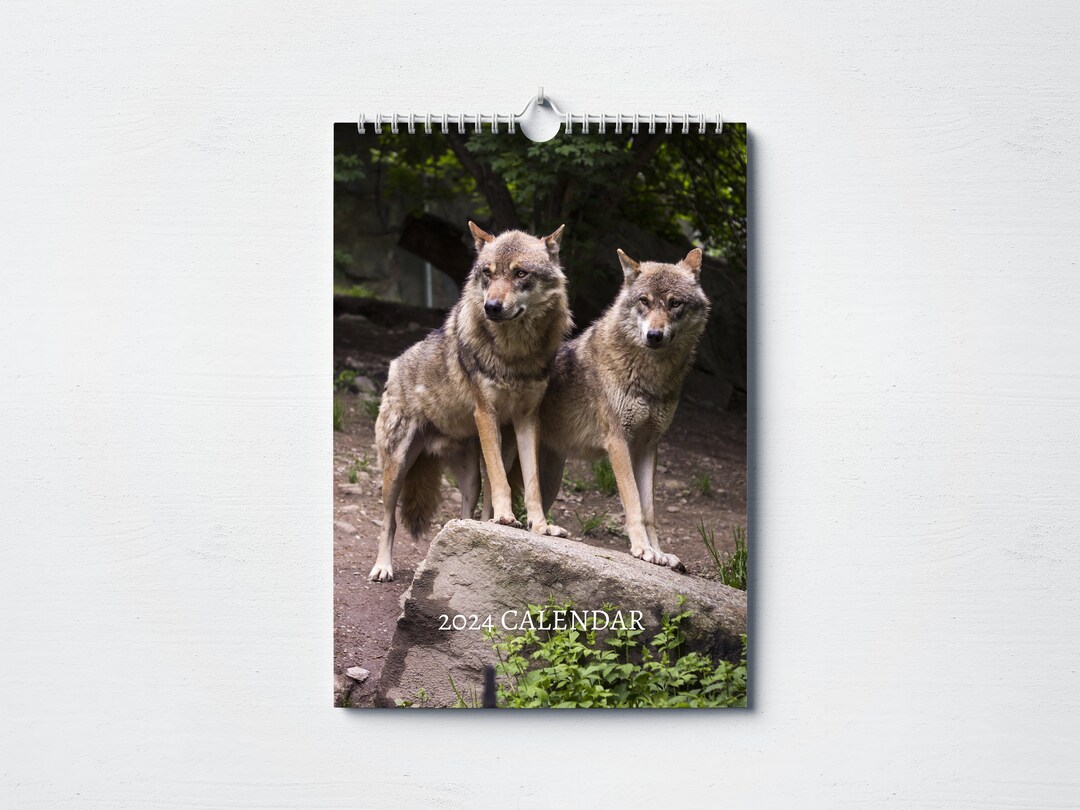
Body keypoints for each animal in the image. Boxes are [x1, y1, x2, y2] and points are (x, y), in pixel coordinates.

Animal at [368, 222, 572, 582]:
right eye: (487, 273)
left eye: (520, 273)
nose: (492, 307)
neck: (514, 356)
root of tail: (395, 365)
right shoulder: (486, 414)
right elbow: (503, 484)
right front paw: (506, 518)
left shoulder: (526, 420)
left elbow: (530, 484)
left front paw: (540, 526)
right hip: (396, 468)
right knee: (388, 521)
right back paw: (383, 567)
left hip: (470, 477)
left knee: (466, 513)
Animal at [532, 247, 711, 570]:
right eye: (645, 301)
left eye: (674, 303)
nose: (654, 335)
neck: (651, 377)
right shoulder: (618, 442)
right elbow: (634, 504)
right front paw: (643, 550)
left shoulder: (649, 446)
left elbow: (649, 511)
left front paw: (660, 553)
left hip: (551, 480)